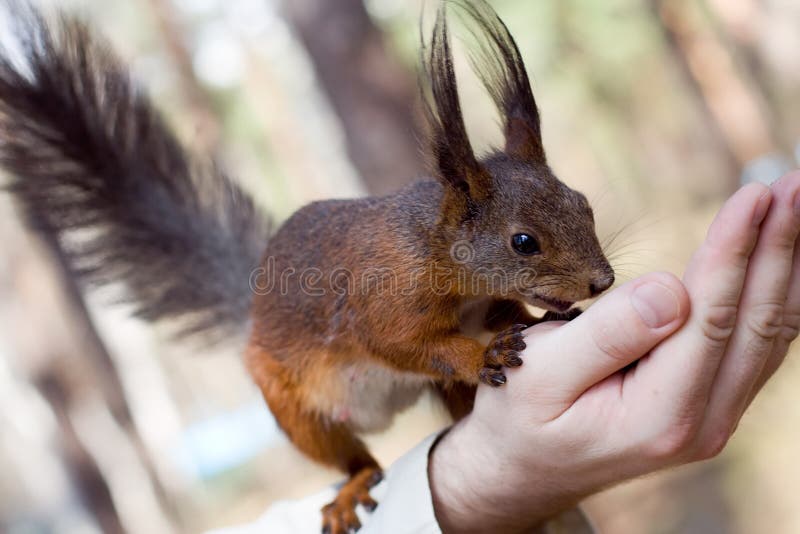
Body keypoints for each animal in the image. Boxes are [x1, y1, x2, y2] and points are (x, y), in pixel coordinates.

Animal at [0, 1, 614, 533]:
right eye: (523, 242)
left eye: (584, 203)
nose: (602, 281)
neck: (439, 252)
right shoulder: (384, 301)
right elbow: (401, 344)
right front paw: (483, 353)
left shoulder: (484, 301)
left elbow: (501, 314)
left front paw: (531, 321)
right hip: (296, 409)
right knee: (355, 460)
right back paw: (352, 488)